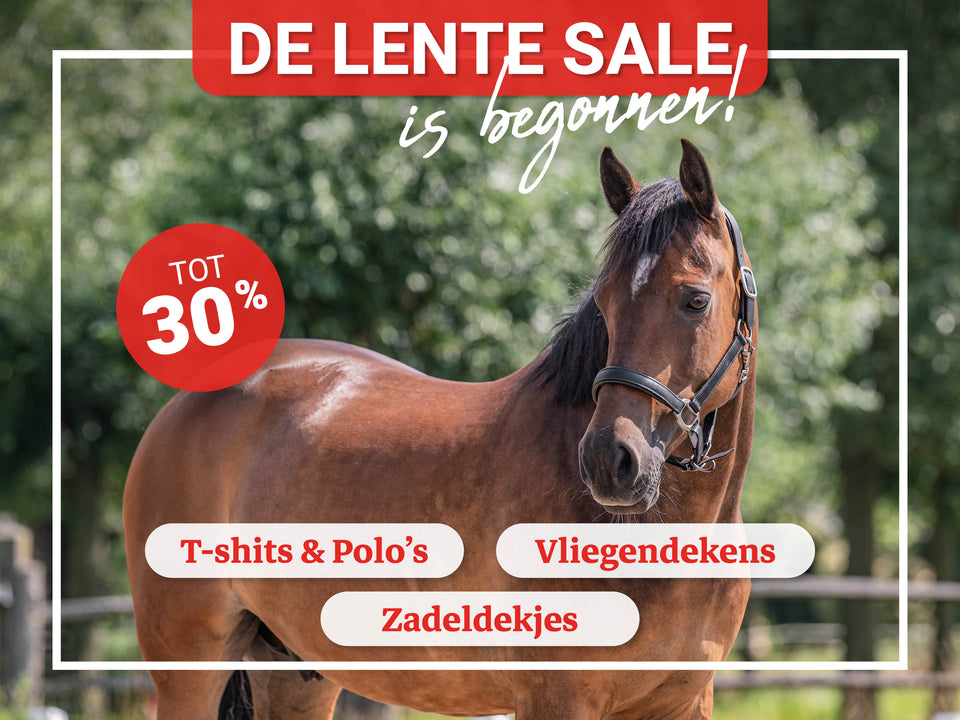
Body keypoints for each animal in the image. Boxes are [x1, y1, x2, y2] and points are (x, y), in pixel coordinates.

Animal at [123, 138, 757, 720]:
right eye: (602, 303)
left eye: (695, 300)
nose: (609, 461)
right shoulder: (556, 699)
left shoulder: (685, 702)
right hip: (190, 672)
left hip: (296, 673)